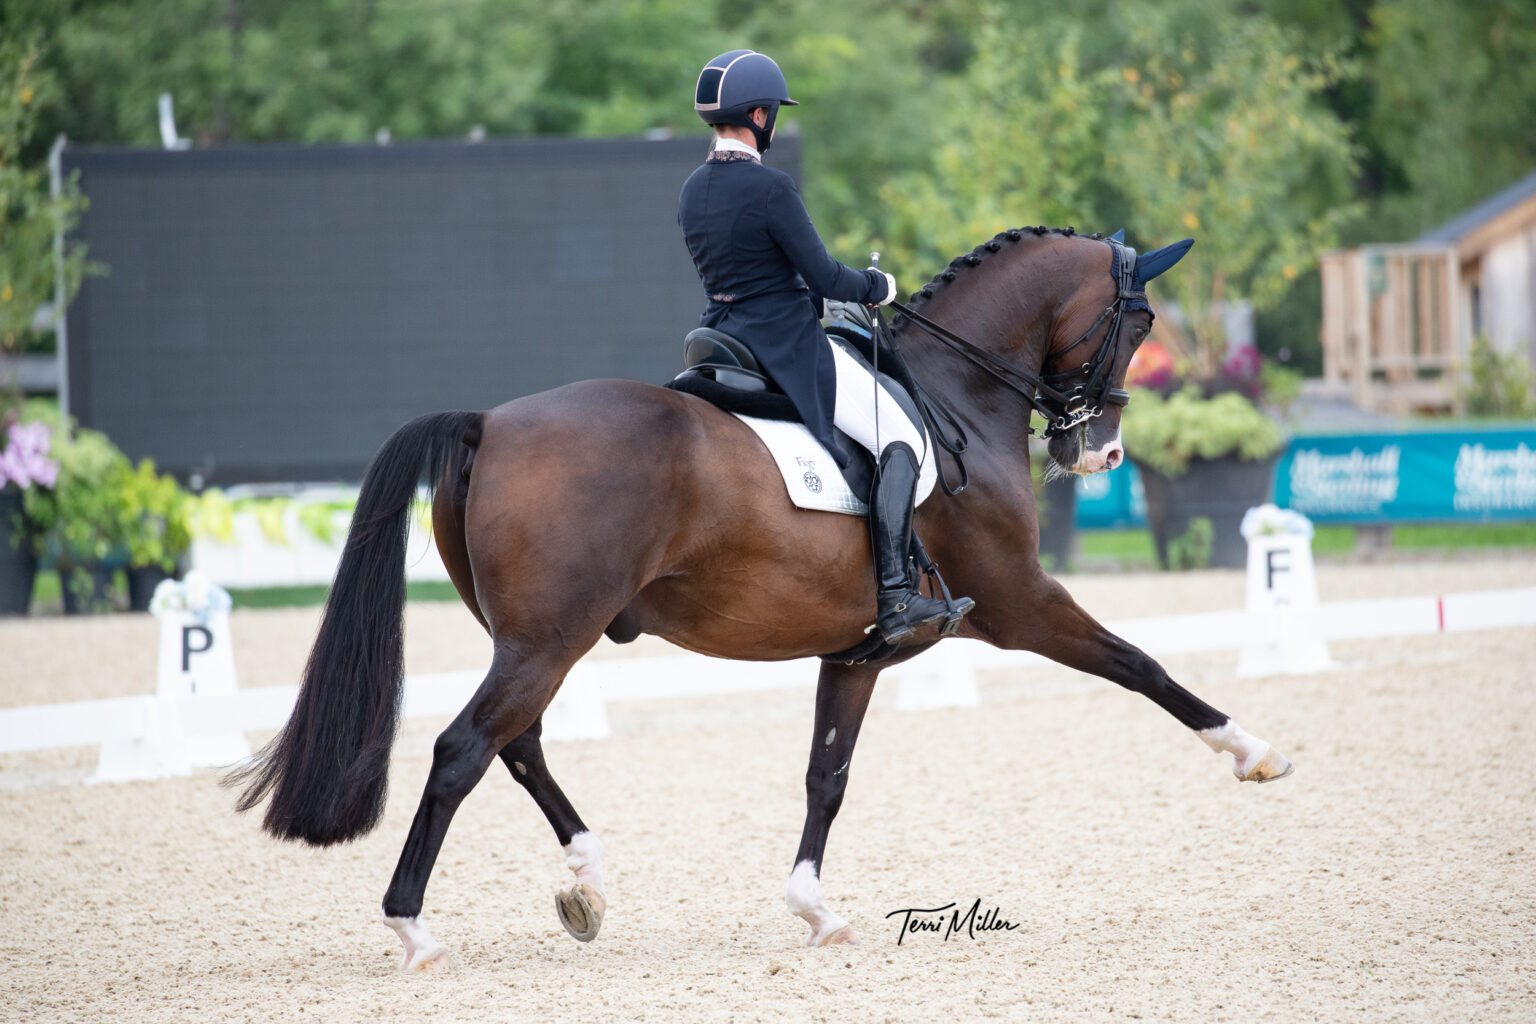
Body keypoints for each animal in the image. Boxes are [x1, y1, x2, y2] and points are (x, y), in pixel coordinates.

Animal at [228, 225, 1293, 971]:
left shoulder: (859, 648)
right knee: (463, 752)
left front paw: (817, 909)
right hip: (548, 640)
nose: (1099, 453)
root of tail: (490, 420)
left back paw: (588, 885)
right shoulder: (1019, 601)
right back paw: (414, 930)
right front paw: (1253, 751)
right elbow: (1140, 663)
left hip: (532, 639)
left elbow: (828, 773)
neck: (950, 392)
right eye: (1141, 324)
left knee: (515, 746)